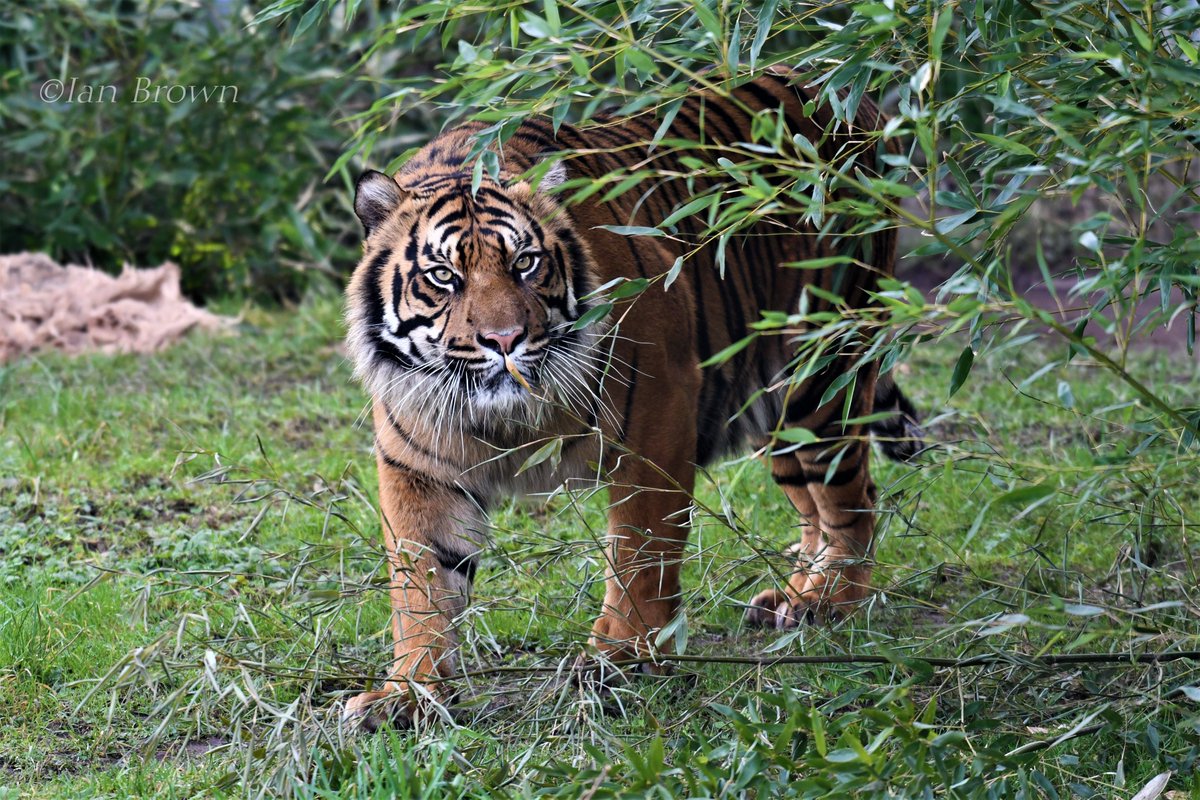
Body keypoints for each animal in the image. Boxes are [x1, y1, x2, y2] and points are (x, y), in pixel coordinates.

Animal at [342, 67, 921, 728]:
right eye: (443, 276)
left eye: (526, 263)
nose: (504, 339)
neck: (510, 418)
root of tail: (847, 91)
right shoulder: (417, 467)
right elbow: (421, 585)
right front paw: (409, 693)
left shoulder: (658, 421)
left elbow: (642, 554)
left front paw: (624, 661)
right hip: (774, 410)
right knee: (812, 504)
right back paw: (791, 595)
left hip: (821, 373)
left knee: (854, 497)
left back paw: (828, 601)